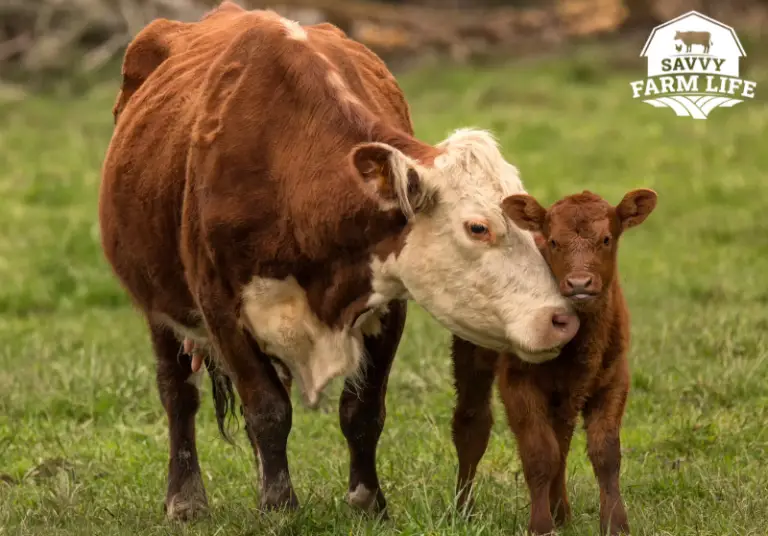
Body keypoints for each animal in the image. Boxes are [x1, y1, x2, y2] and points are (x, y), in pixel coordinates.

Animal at [98, 1, 580, 521]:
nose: (561, 319)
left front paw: (367, 500)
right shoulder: (220, 308)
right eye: (478, 227)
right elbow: (267, 409)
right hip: (160, 306)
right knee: (178, 393)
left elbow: (361, 410)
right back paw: (186, 498)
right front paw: (279, 506)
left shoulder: (387, 302)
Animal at [451, 189, 657, 535]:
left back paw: (562, 512)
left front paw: (615, 523)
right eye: (554, 242)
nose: (579, 283)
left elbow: (604, 453)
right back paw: (463, 509)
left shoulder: (614, 379)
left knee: (561, 438)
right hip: (471, 351)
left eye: (606, 239)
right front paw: (541, 525)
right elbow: (539, 453)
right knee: (472, 423)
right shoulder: (518, 381)